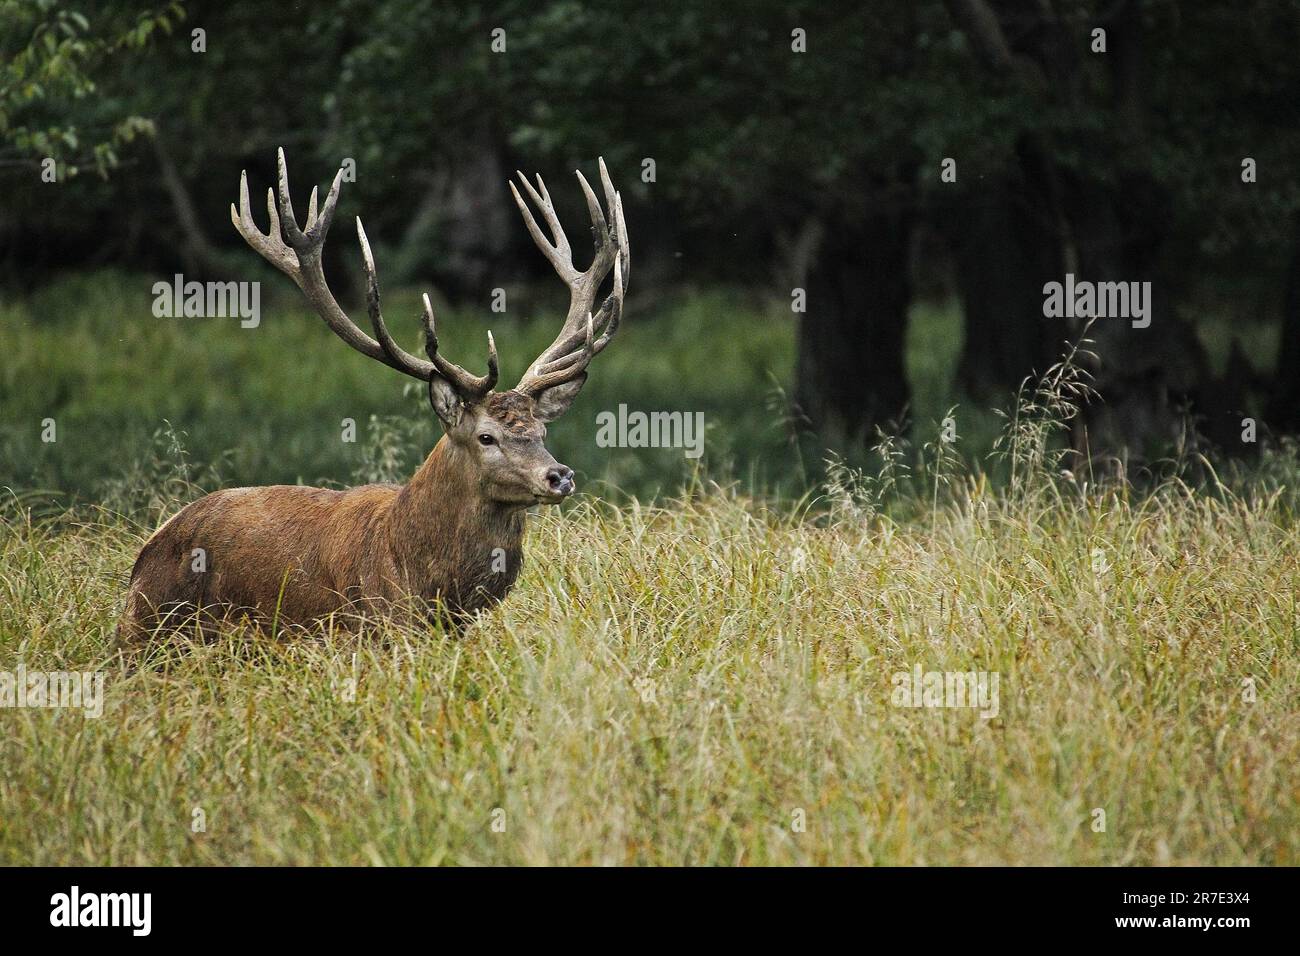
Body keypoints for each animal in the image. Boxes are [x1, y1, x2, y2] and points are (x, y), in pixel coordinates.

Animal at [118, 149, 629, 642]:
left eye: (542, 431)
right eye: (486, 437)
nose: (559, 475)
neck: (418, 575)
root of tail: (144, 556)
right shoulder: (365, 629)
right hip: (157, 623)